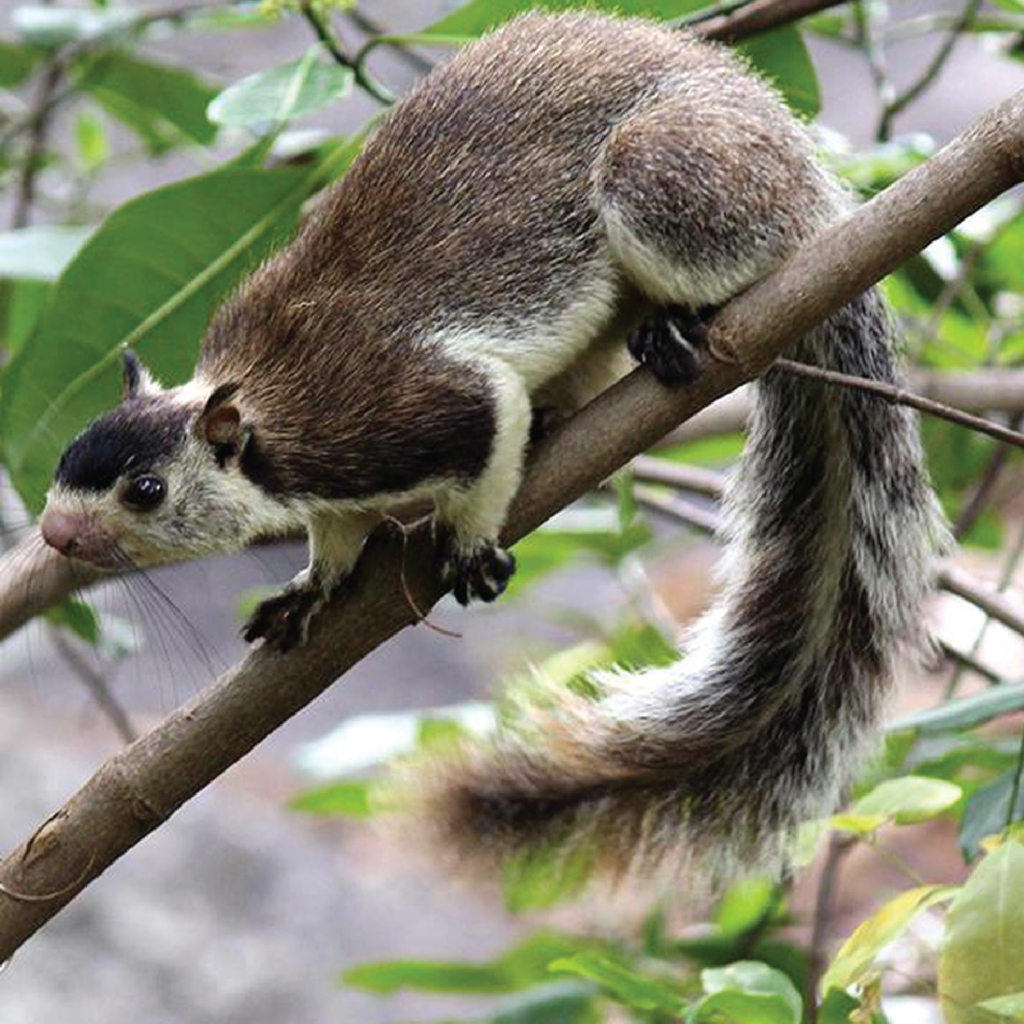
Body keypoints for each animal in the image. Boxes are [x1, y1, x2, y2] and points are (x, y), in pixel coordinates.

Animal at [39, 12, 945, 875]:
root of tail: (793, 153)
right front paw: (312, 587)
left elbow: (487, 425)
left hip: (670, 180)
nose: (53, 533)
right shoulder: (337, 483)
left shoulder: (404, 409)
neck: (267, 423)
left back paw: (681, 326)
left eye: (146, 490)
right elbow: (337, 537)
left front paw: (469, 545)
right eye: (61, 465)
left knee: (743, 253)